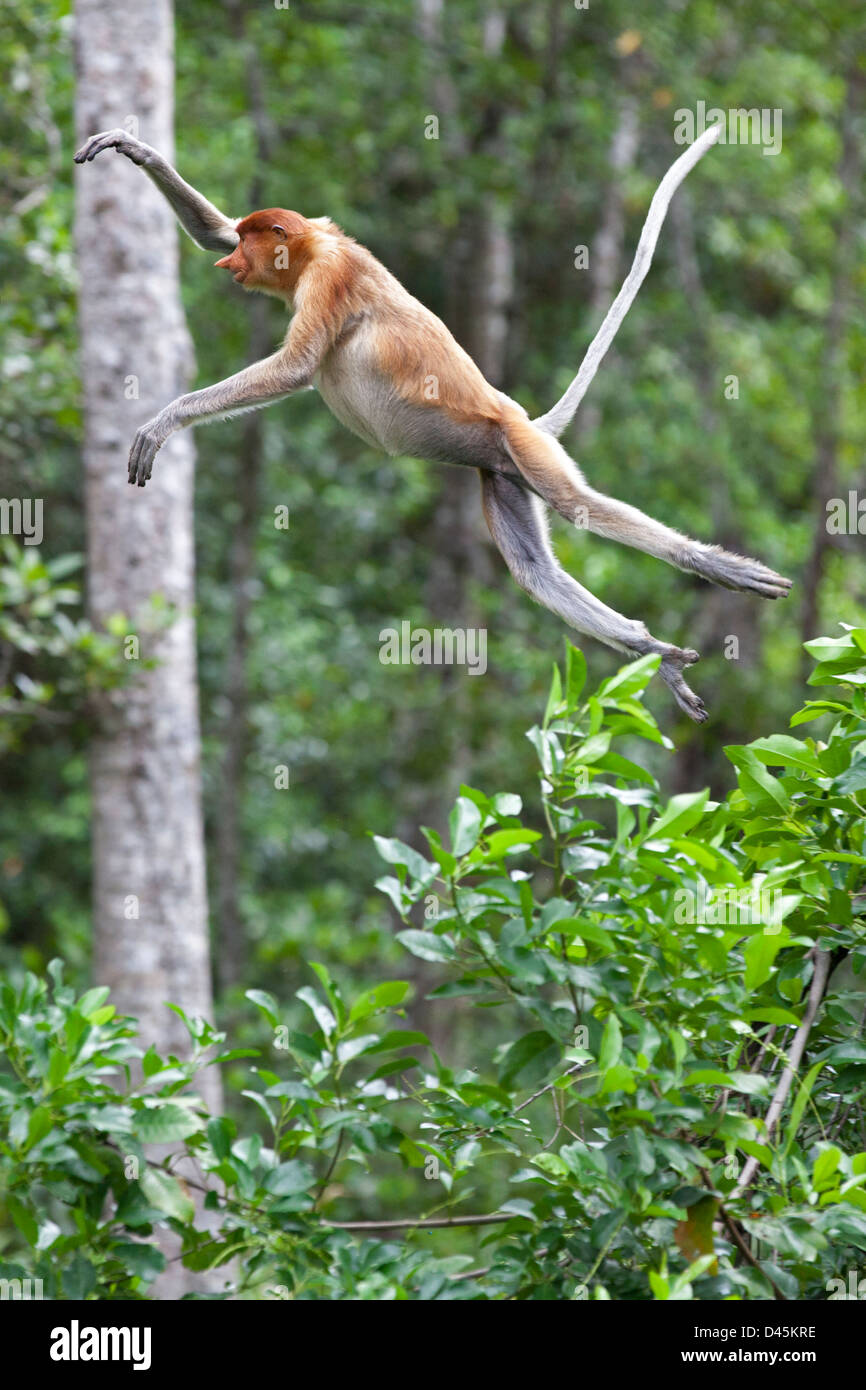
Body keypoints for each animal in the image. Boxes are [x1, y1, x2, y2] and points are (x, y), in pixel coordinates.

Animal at [74, 129, 792, 723]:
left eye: (257, 242)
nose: (233, 267)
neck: (315, 248)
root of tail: (522, 417)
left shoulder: (330, 279)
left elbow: (295, 367)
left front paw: (162, 422)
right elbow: (211, 229)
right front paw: (133, 149)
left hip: (520, 445)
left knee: (573, 501)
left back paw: (711, 569)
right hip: (501, 471)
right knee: (533, 570)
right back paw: (652, 649)